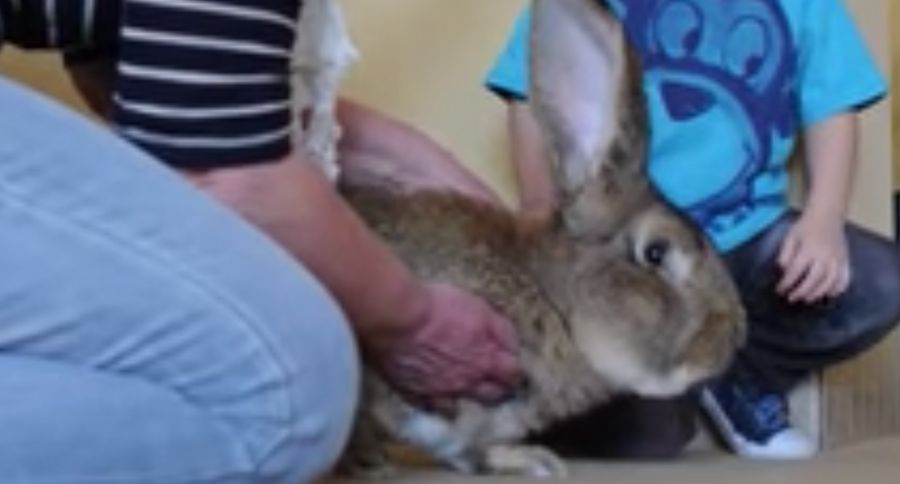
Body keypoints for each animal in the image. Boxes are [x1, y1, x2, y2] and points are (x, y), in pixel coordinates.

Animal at [335, 0, 747, 478]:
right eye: (656, 252)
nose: (732, 339)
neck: (552, 298)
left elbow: (467, 450)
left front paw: (532, 461)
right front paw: (370, 468)